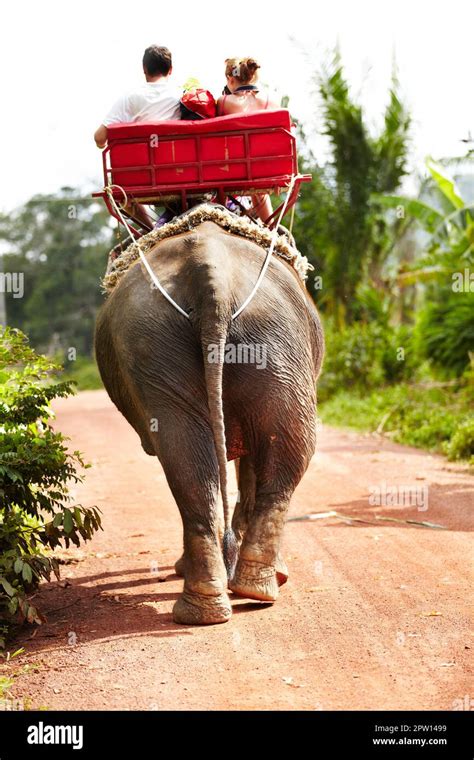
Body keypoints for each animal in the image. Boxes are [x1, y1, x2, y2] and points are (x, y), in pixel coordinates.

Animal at [95, 220, 324, 625]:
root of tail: (209, 272)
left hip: (198, 343)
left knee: (188, 460)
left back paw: (216, 603)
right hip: (272, 342)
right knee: (290, 451)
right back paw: (252, 590)